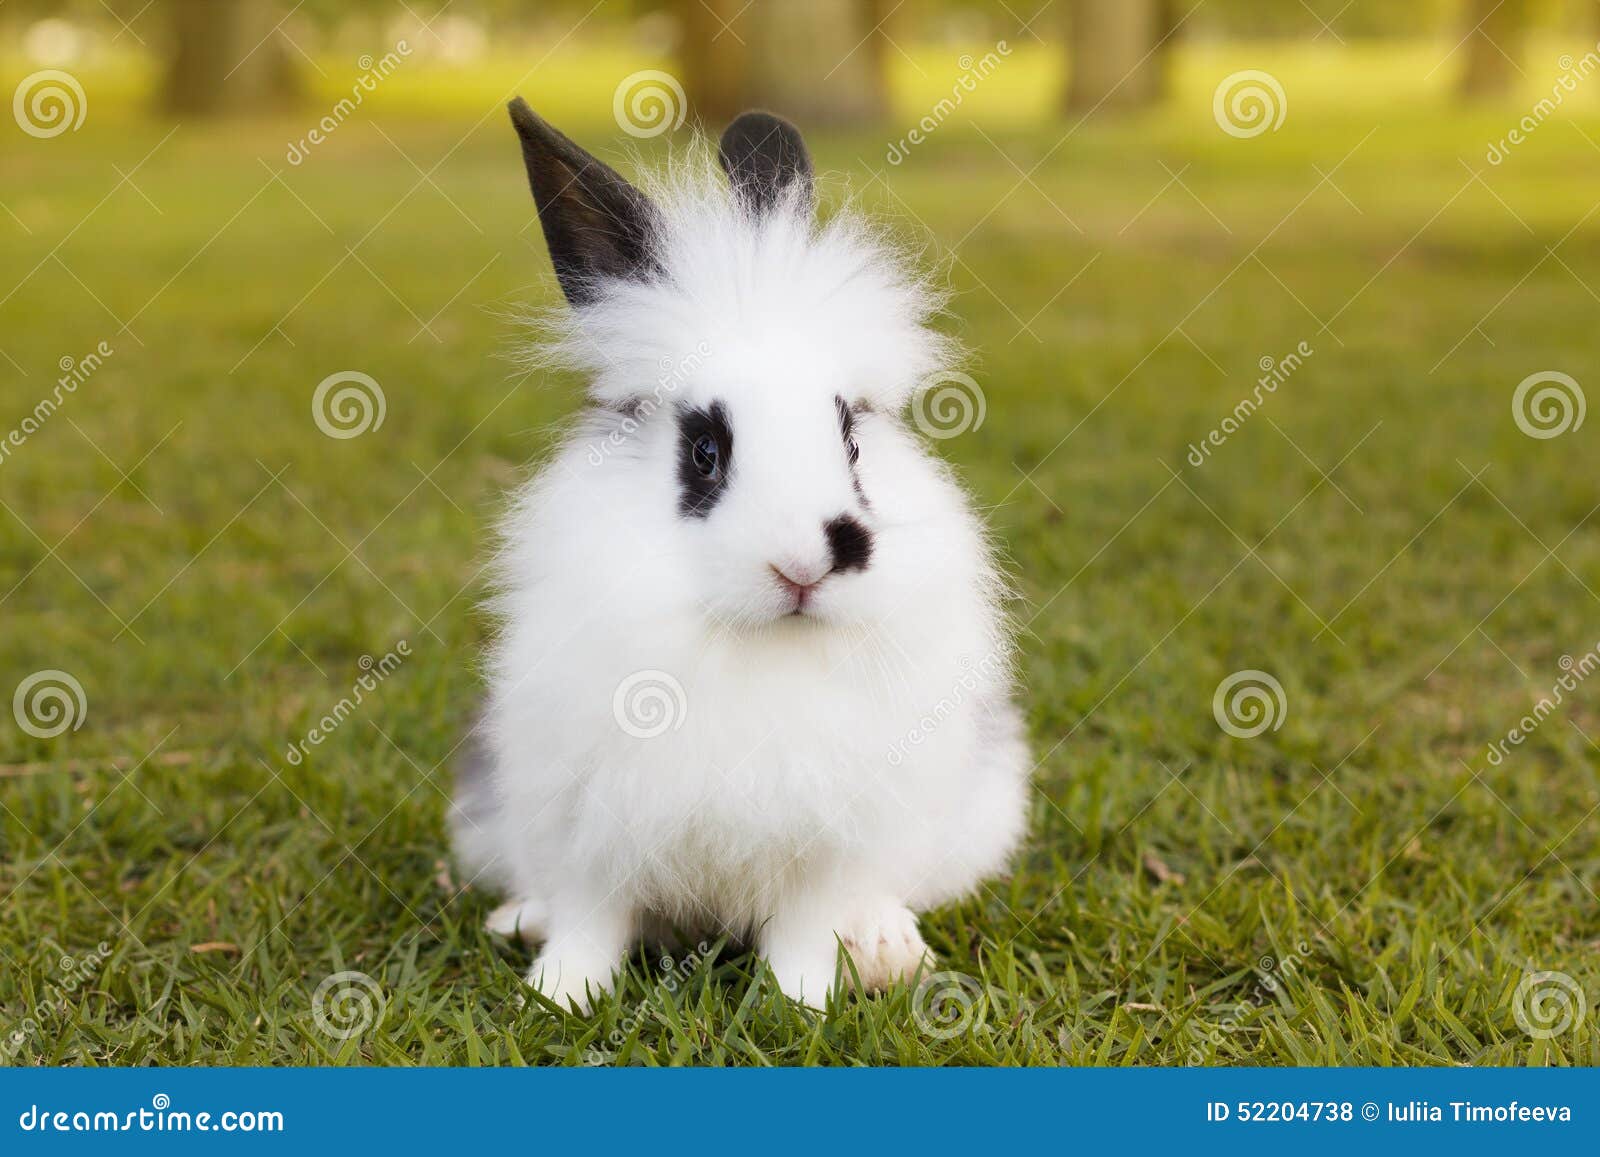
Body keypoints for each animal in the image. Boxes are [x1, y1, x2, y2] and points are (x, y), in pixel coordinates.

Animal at [451, 98, 1031, 1011]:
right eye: (704, 453)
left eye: (852, 441)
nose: (807, 564)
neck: (753, 644)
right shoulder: (584, 821)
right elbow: (589, 920)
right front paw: (558, 995)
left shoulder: (827, 841)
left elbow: (804, 931)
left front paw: (804, 1006)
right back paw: (519, 920)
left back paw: (889, 948)